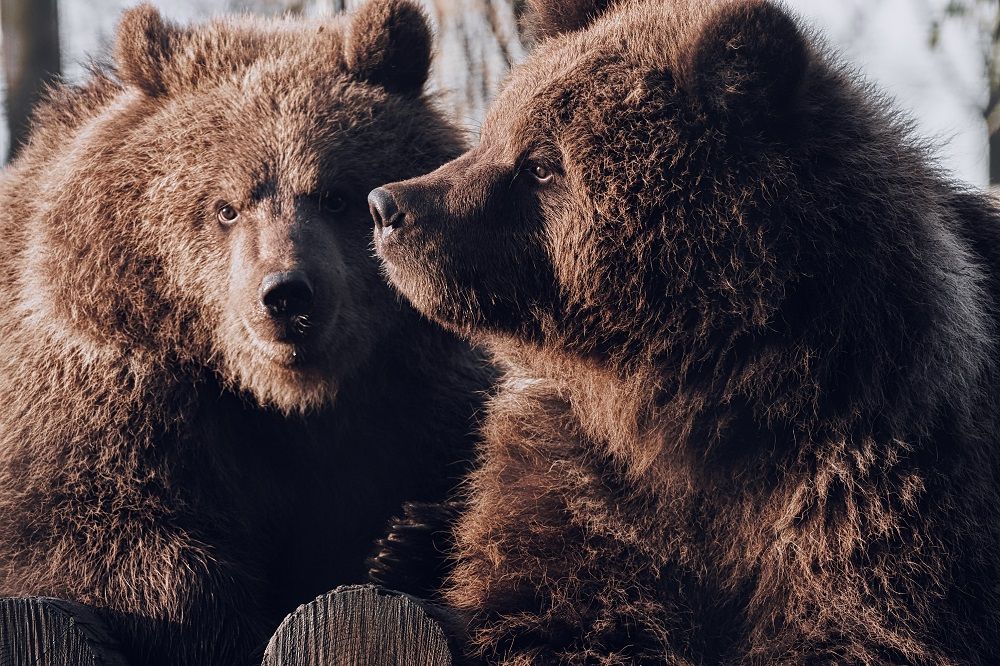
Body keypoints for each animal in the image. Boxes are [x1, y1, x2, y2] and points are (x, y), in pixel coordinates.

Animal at [0, 1, 492, 664]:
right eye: (226, 207)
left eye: (335, 196)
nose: (285, 294)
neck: (285, 402)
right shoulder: (111, 396)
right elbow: (88, 534)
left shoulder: (417, 404)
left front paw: (403, 540)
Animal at [369, 0, 1000, 662]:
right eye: (494, 132)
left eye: (540, 165)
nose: (389, 206)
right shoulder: (579, 473)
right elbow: (557, 604)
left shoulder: (874, 488)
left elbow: (854, 627)